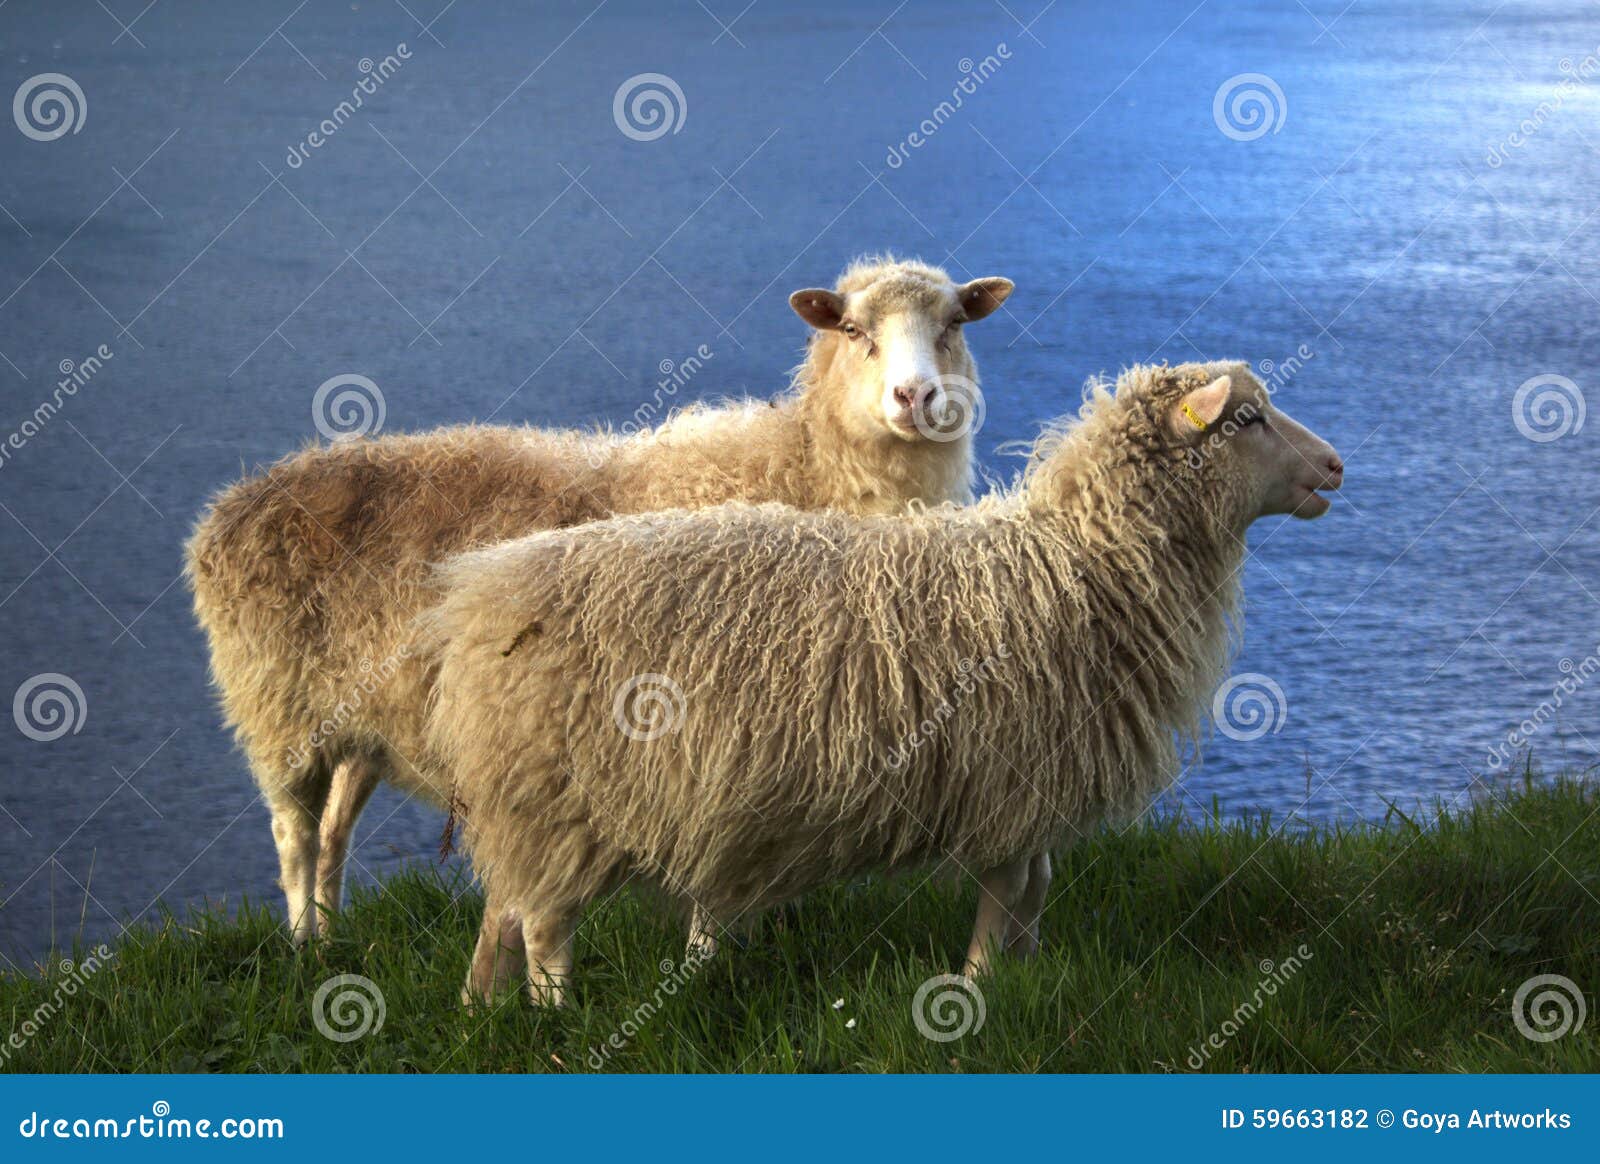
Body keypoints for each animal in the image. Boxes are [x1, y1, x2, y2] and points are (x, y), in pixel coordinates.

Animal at [185, 255, 1015, 949]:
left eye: (954, 324)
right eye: (852, 330)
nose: (917, 396)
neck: (803, 468)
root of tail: (232, 506)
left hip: (363, 720)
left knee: (332, 835)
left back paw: (332, 938)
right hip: (277, 710)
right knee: (293, 836)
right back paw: (303, 949)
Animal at [421, 361, 1345, 1006]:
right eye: (1249, 418)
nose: (1336, 467)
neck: (1080, 559)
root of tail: (479, 597)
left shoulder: (1038, 777)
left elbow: (1038, 886)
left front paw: (1029, 972)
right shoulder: (1007, 778)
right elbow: (1008, 891)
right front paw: (980, 988)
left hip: (530, 804)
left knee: (504, 912)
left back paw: (480, 1011)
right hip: (564, 801)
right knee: (545, 925)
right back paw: (555, 1018)